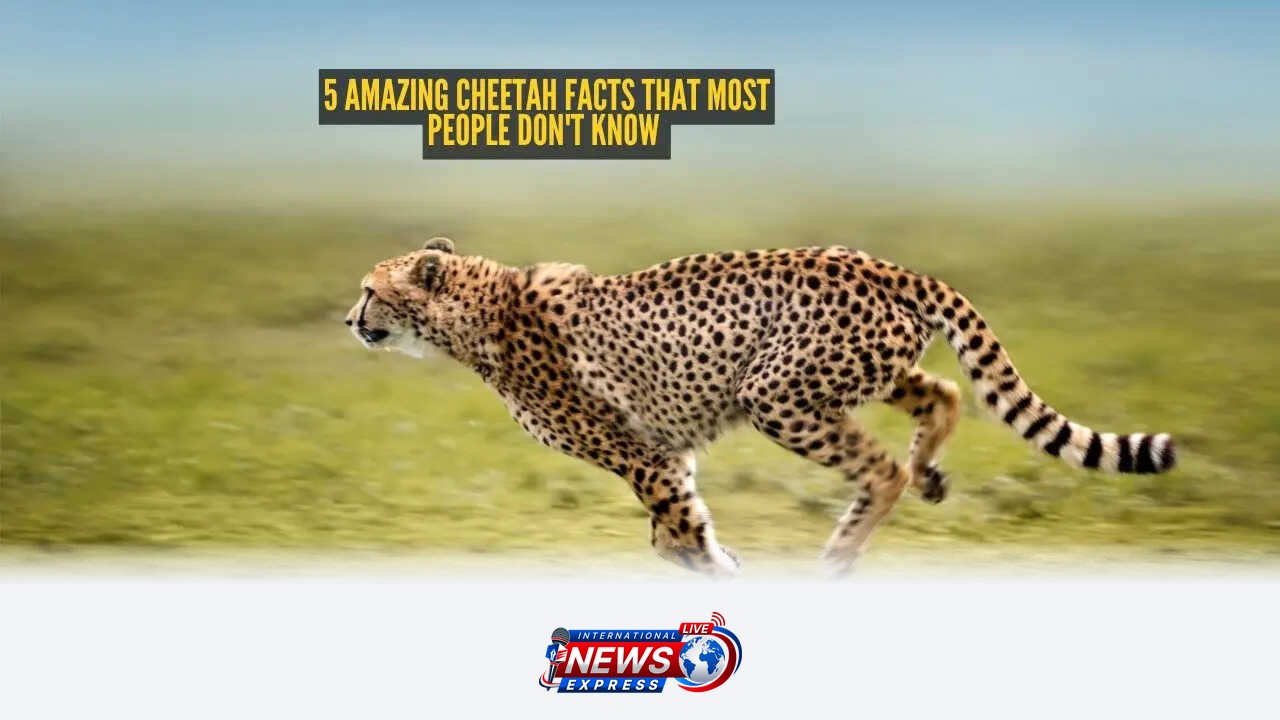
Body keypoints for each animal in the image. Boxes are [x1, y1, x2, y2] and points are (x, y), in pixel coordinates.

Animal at [345, 236, 1176, 576]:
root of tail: (879, 264)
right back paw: (929, 472)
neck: (479, 309)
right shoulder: (664, 454)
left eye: (370, 290)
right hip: (856, 372)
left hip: (778, 394)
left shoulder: (641, 455)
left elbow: (679, 531)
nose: (351, 319)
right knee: (940, 393)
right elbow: (670, 532)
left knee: (880, 469)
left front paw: (720, 572)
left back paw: (844, 550)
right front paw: (710, 561)